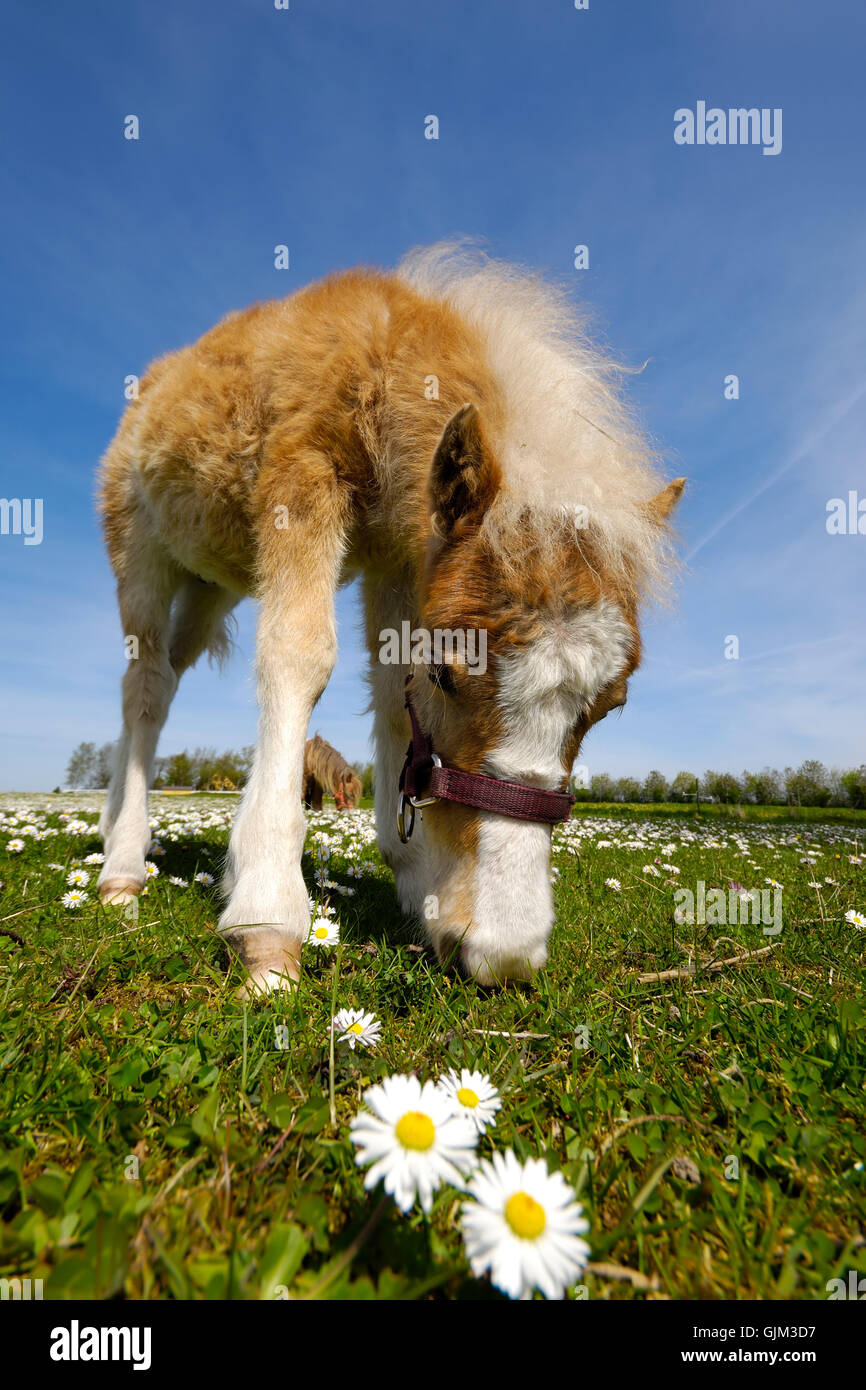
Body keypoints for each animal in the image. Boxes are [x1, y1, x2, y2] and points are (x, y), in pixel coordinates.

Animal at [96, 242, 684, 997]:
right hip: (140, 545)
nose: (507, 956)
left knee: (163, 678)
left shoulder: (400, 556)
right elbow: (299, 655)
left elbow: (389, 694)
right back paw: (121, 871)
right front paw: (268, 920)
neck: (379, 361)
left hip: (211, 585)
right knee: (143, 684)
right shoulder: (302, 477)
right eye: (446, 674)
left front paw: (417, 887)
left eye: (612, 705)